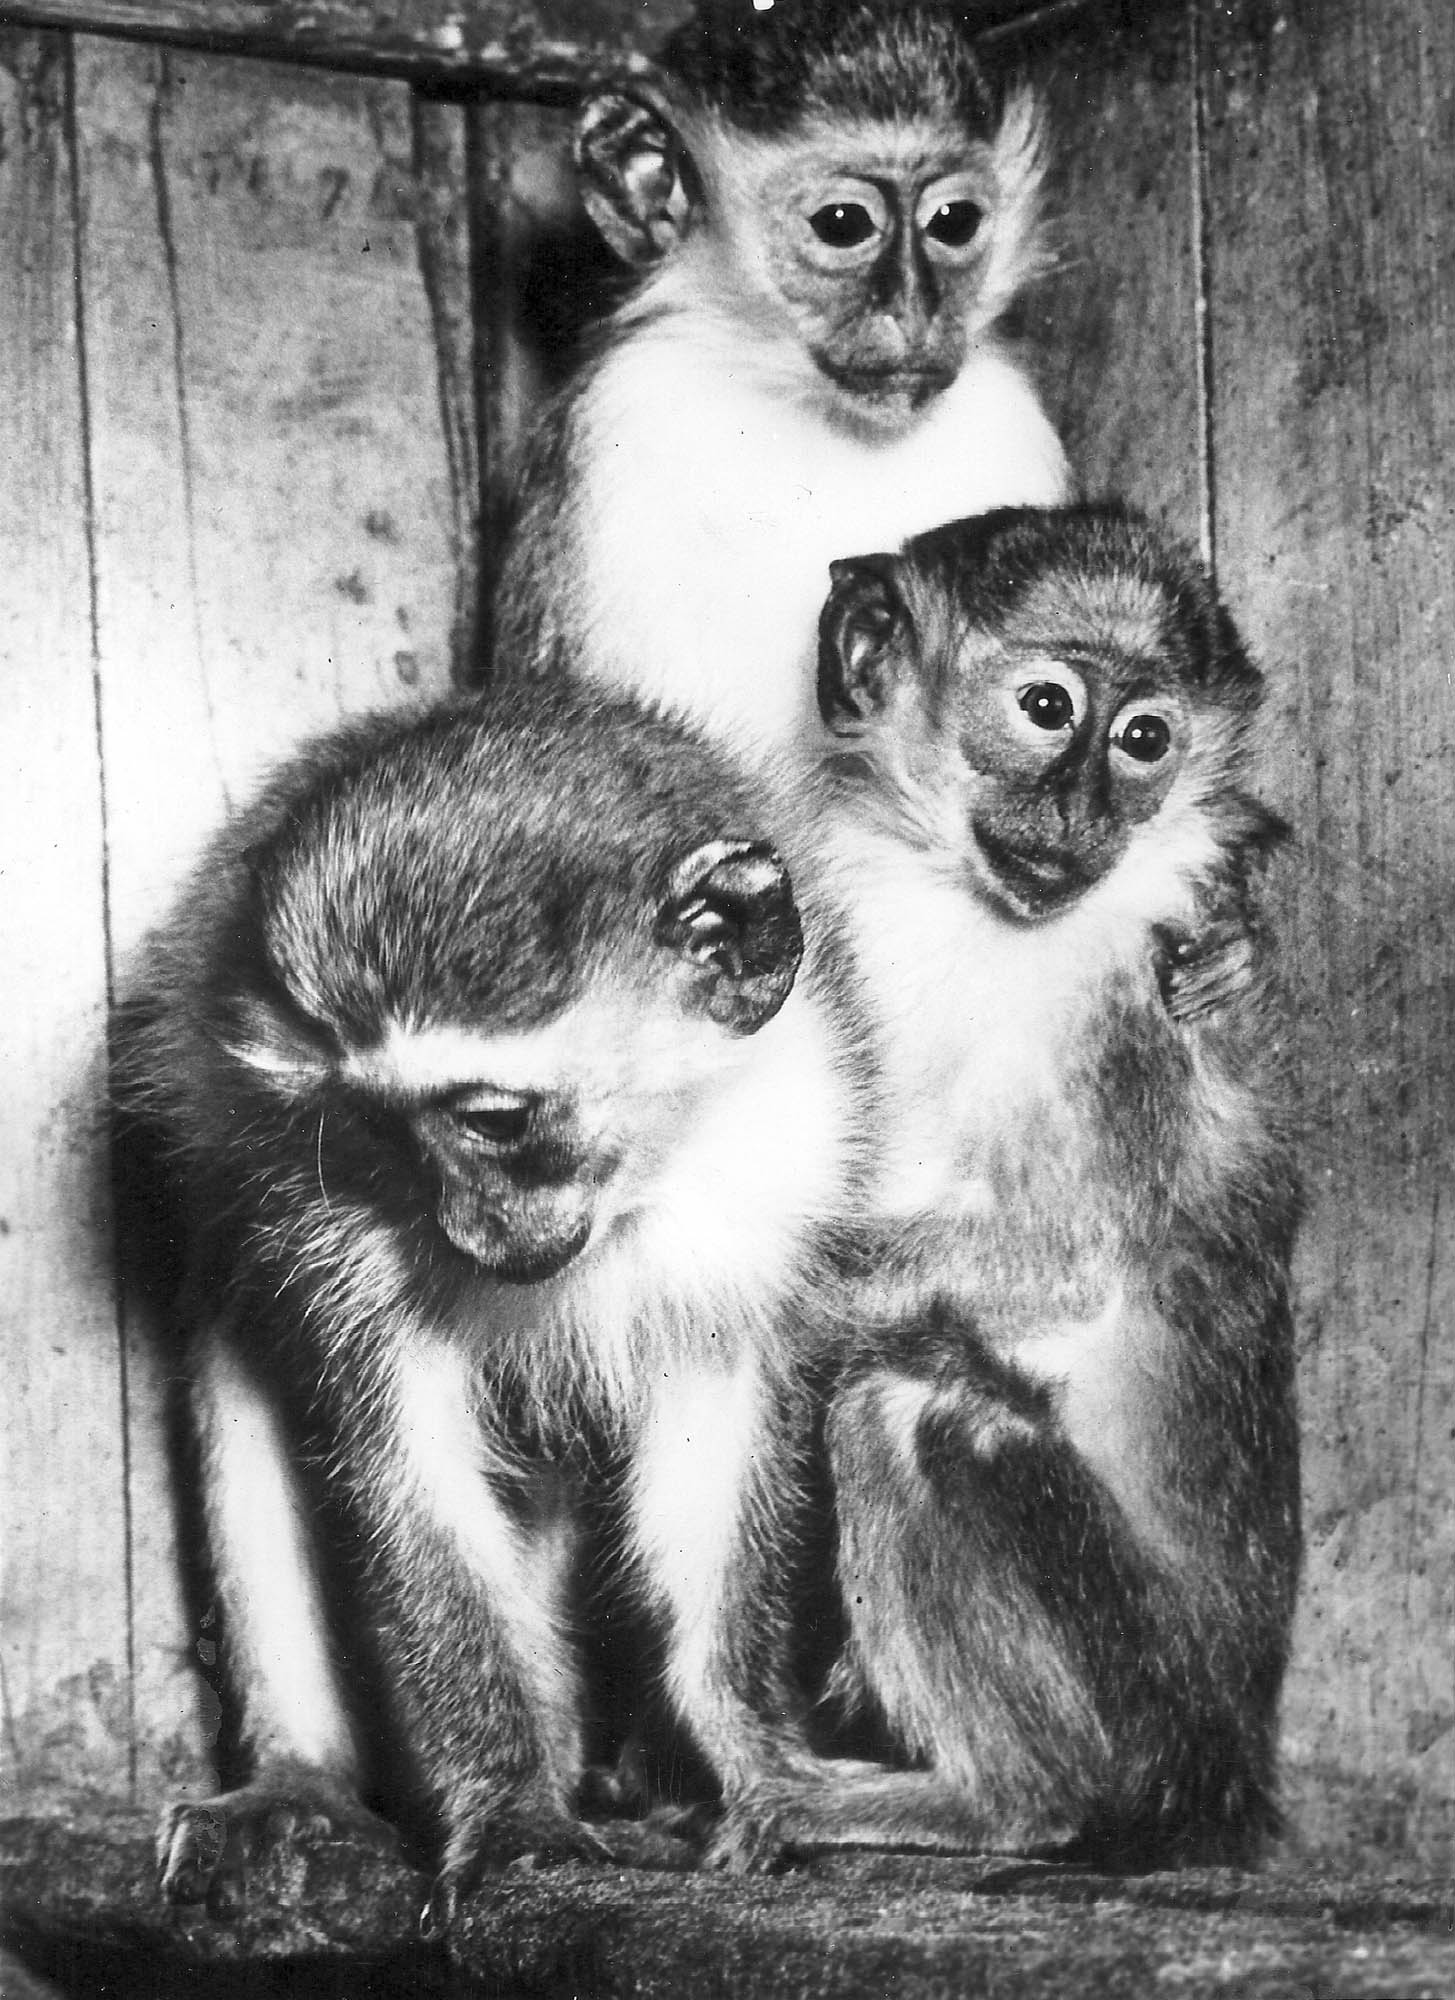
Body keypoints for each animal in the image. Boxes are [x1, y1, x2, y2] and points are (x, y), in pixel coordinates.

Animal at [122, 680, 883, 1920]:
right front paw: (516, 1811)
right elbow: (410, 1469)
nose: (467, 1232)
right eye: (377, 1127)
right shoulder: (333, 1213)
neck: (637, 1180)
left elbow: (713, 1446)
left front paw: (749, 1756)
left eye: (494, 1120)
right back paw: (301, 1779)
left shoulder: (791, 1152)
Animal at [492, 0, 1070, 760]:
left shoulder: (1011, 422)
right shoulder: (621, 417)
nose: (914, 308)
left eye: (953, 220)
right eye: (843, 223)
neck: (822, 418)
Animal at [756, 503, 1303, 1868]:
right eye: (1048, 708)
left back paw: (996, 1800)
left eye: (1145, 737)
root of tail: (1235, 1770)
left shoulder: (1129, 982)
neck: (955, 907)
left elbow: (1069, 1263)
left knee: (914, 1408)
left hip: (1149, 1711)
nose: (1081, 804)